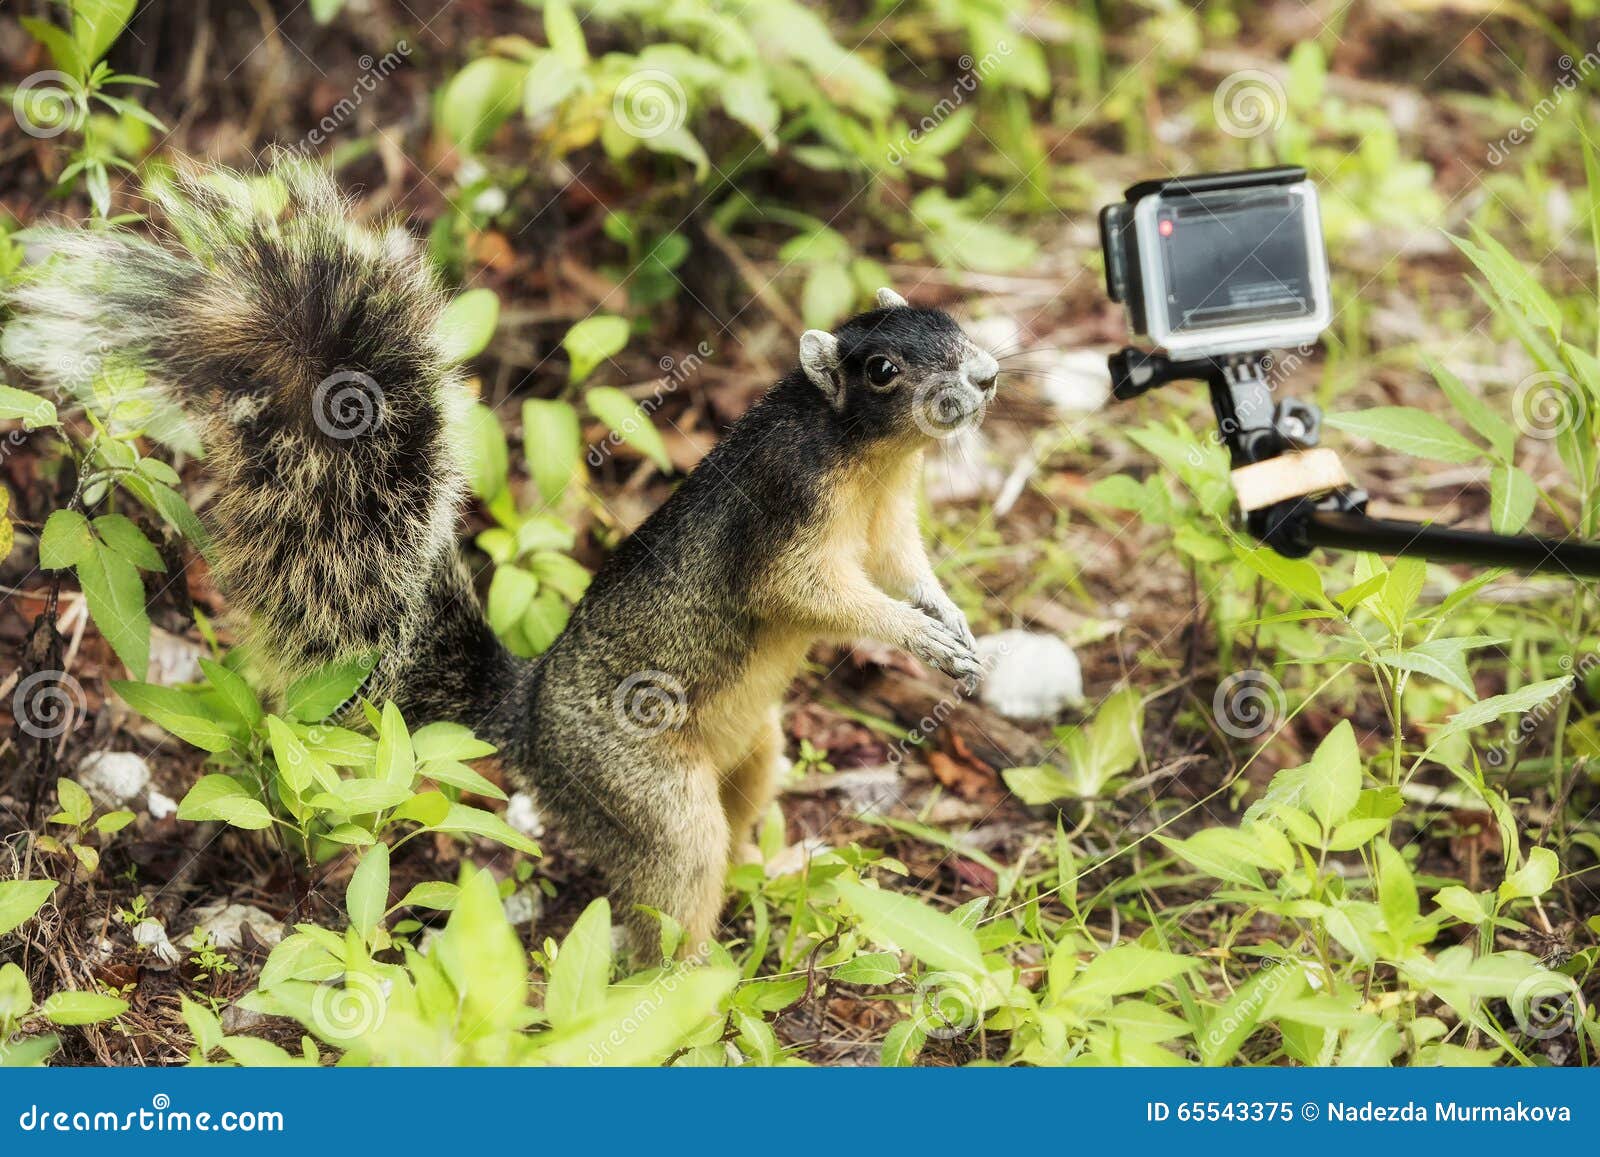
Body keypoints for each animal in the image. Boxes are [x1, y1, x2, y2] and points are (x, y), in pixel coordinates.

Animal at [3, 161, 999, 957]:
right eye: (882, 370)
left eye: (950, 319)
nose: (987, 375)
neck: (868, 458)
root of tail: (528, 726)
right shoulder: (785, 505)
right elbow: (812, 592)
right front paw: (917, 637)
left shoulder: (890, 522)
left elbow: (904, 567)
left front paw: (951, 620)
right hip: (638, 787)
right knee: (673, 880)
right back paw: (682, 988)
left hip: (755, 750)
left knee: (742, 809)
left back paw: (772, 876)